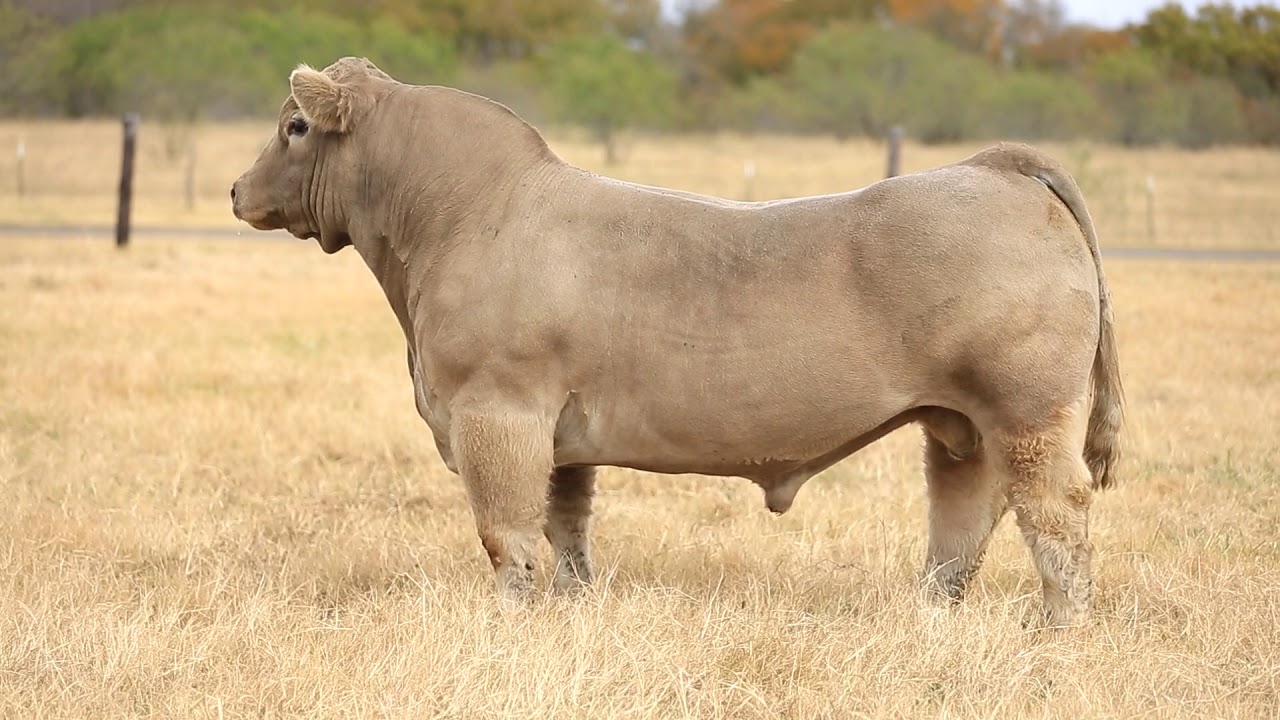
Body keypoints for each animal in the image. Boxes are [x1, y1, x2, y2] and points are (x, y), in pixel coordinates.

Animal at [231, 57, 1123, 627]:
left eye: (295, 125)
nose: (238, 189)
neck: (462, 215)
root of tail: (991, 167)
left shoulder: (497, 415)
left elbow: (507, 536)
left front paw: (506, 622)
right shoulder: (562, 439)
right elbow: (566, 533)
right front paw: (571, 610)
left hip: (1027, 415)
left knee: (1057, 514)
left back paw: (1059, 628)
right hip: (961, 424)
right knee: (963, 523)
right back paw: (930, 615)